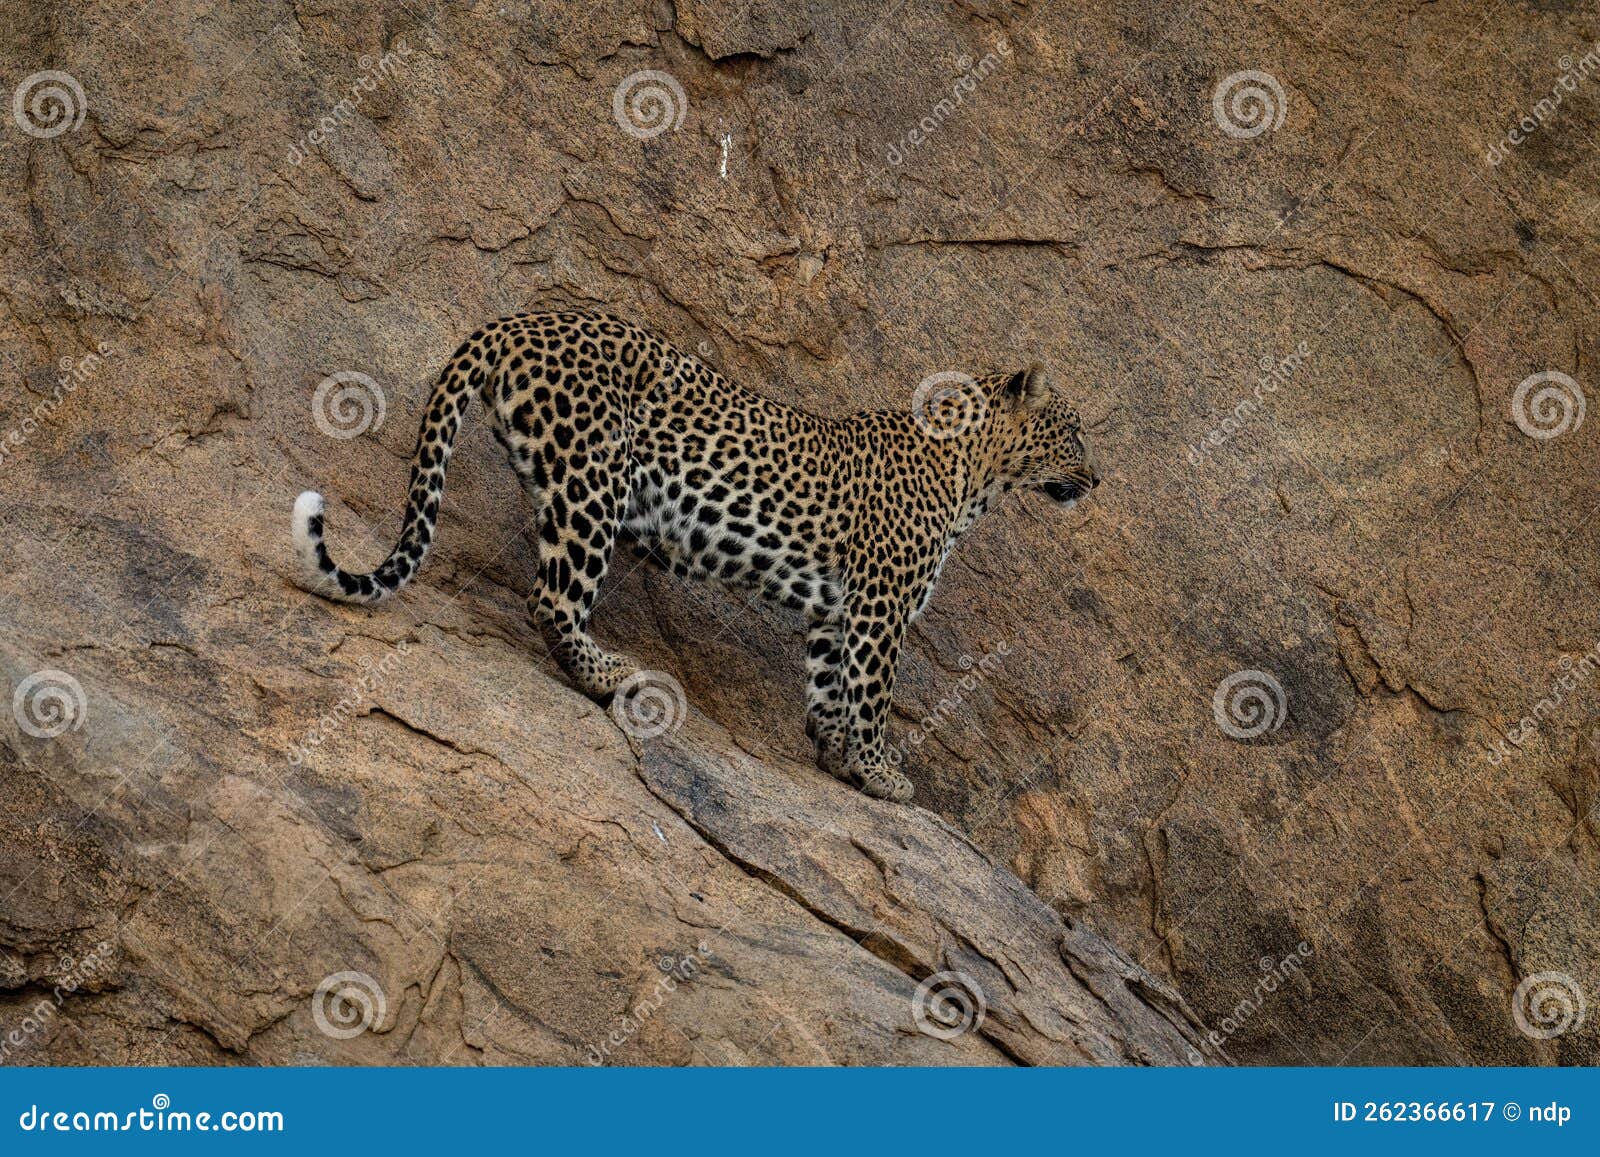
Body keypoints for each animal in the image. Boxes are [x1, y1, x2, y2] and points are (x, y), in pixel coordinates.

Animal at [290, 310, 1099, 803]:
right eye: (1073, 433)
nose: (1098, 481)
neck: (975, 477)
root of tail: (520, 320)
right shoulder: (881, 605)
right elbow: (871, 692)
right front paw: (880, 774)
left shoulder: (838, 610)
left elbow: (828, 688)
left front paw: (838, 758)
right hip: (593, 483)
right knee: (551, 597)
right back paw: (608, 674)